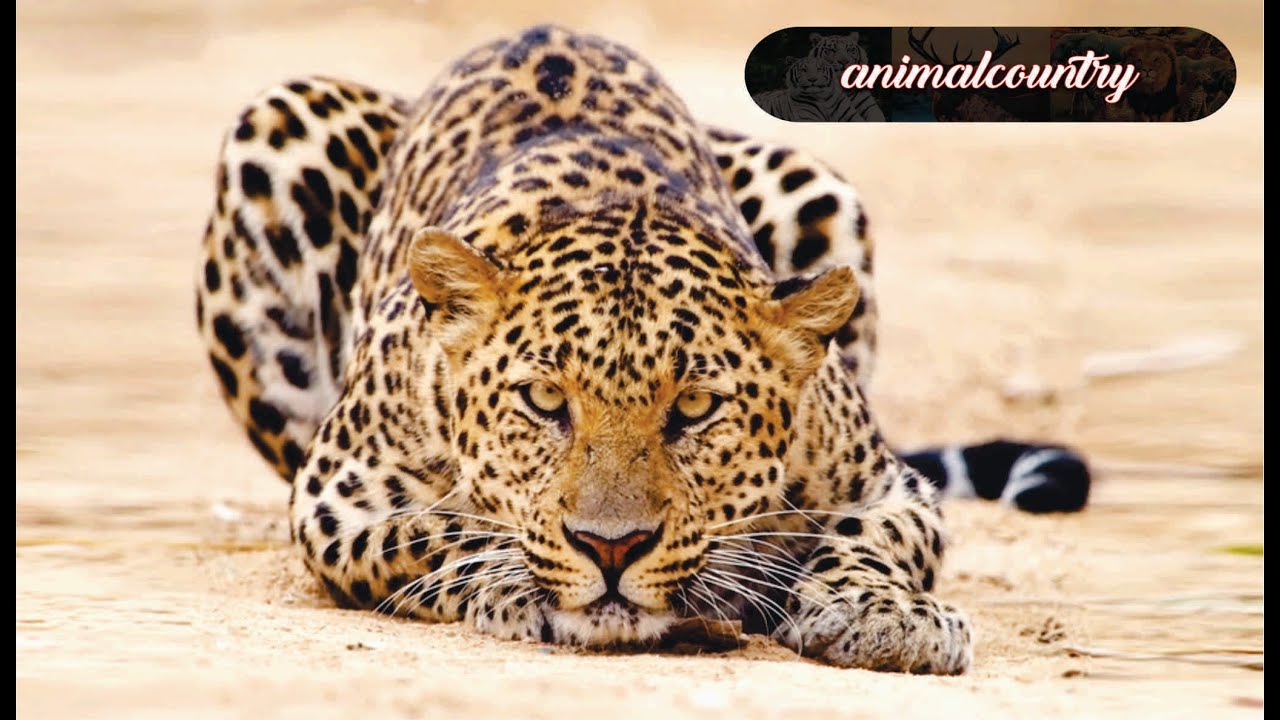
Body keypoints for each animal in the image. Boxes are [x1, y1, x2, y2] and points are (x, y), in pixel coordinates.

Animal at [195, 25, 1089, 674]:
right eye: (544, 401)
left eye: (694, 408)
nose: (612, 548)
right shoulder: (337, 497)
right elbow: (440, 533)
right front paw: (521, 585)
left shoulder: (887, 486)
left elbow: (876, 543)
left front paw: (884, 614)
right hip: (281, 123)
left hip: (812, 177)